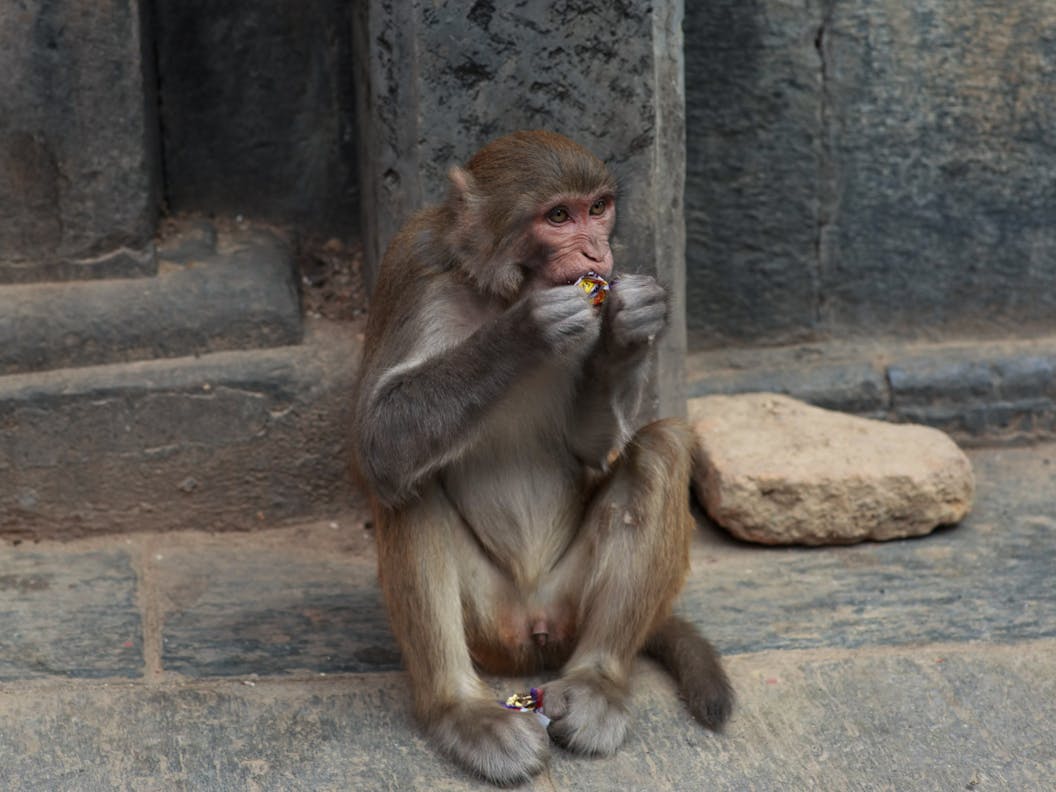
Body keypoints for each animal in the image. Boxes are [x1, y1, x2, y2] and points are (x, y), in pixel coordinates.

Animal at [352, 130, 732, 784]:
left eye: (597, 208)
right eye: (558, 217)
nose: (597, 251)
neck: (499, 287)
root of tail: (531, 630)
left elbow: (591, 446)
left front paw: (628, 328)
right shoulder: (412, 265)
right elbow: (378, 437)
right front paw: (524, 332)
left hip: (569, 603)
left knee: (659, 450)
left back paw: (599, 680)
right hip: (486, 621)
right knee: (405, 481)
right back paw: (460, 710)